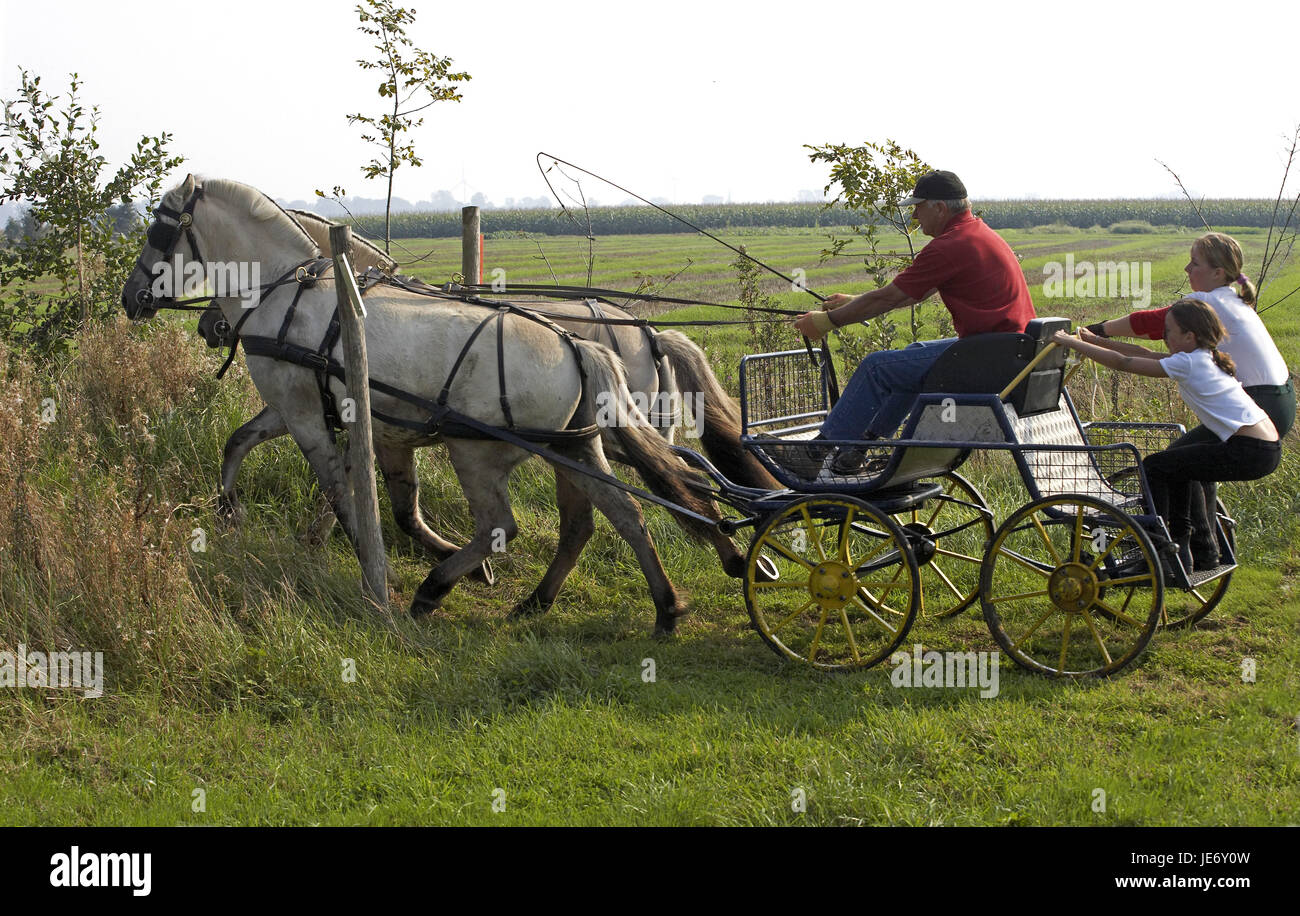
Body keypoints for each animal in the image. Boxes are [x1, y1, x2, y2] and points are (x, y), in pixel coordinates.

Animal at [122, 175, 749, 632]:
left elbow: (341, 492)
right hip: (575, 449)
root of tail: (580, 346)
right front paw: (232, 509)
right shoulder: (319, 413)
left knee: (506, 524)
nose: (130, 298)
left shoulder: (305, 414)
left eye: (158, 230)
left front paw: (372, 569)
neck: (292, 292)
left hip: (478, 452)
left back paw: (437, 588)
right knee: (625, 513)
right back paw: (663, 606)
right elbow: (247, 444)